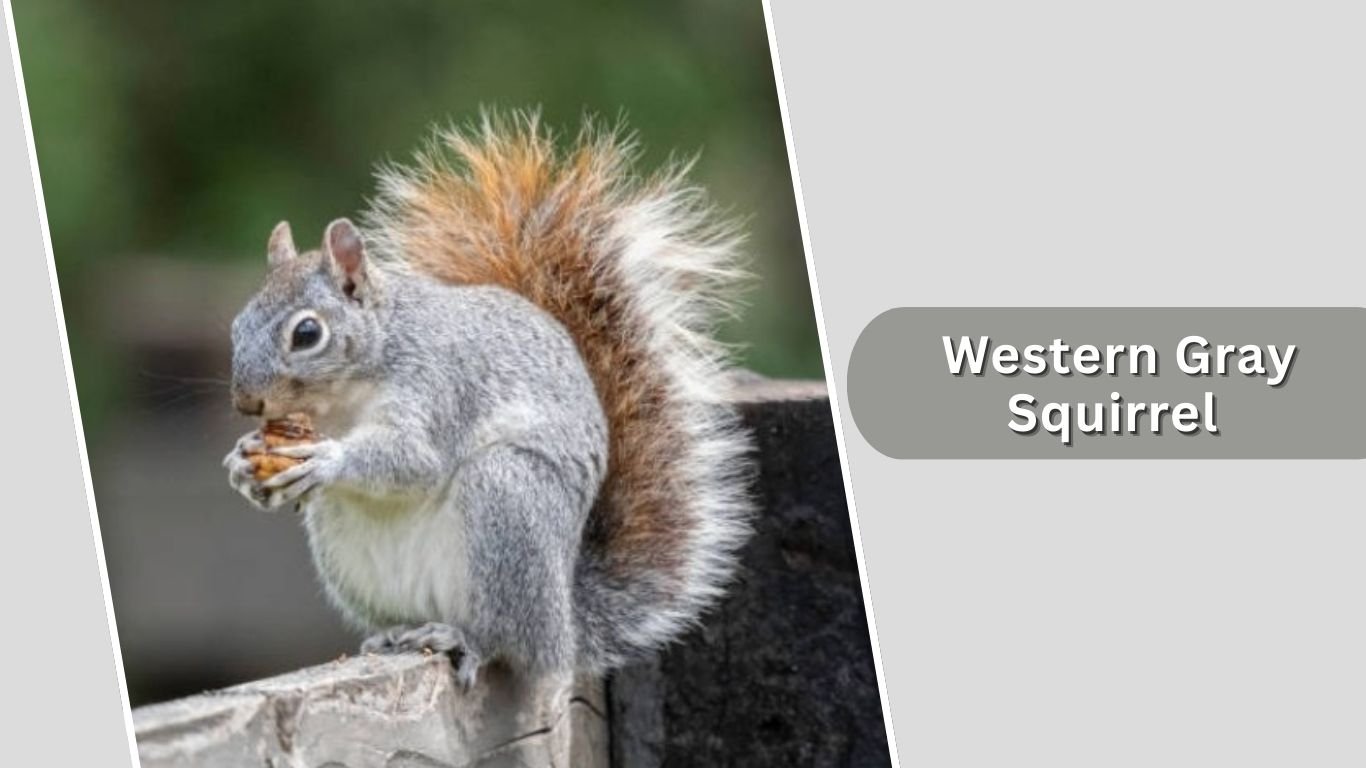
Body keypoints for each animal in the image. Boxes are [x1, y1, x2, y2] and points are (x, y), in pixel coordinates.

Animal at [222, 112, 754, 687]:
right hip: (347, 546)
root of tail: (566, 627)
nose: (246, 404)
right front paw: (242, 463)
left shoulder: (440, 385)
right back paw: (394, 634)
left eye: (306, 334)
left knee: (508, 640)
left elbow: (418, 460)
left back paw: (463, 638)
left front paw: (327, 458)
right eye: (237, 326)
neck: (347, 396)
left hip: (506, 498)